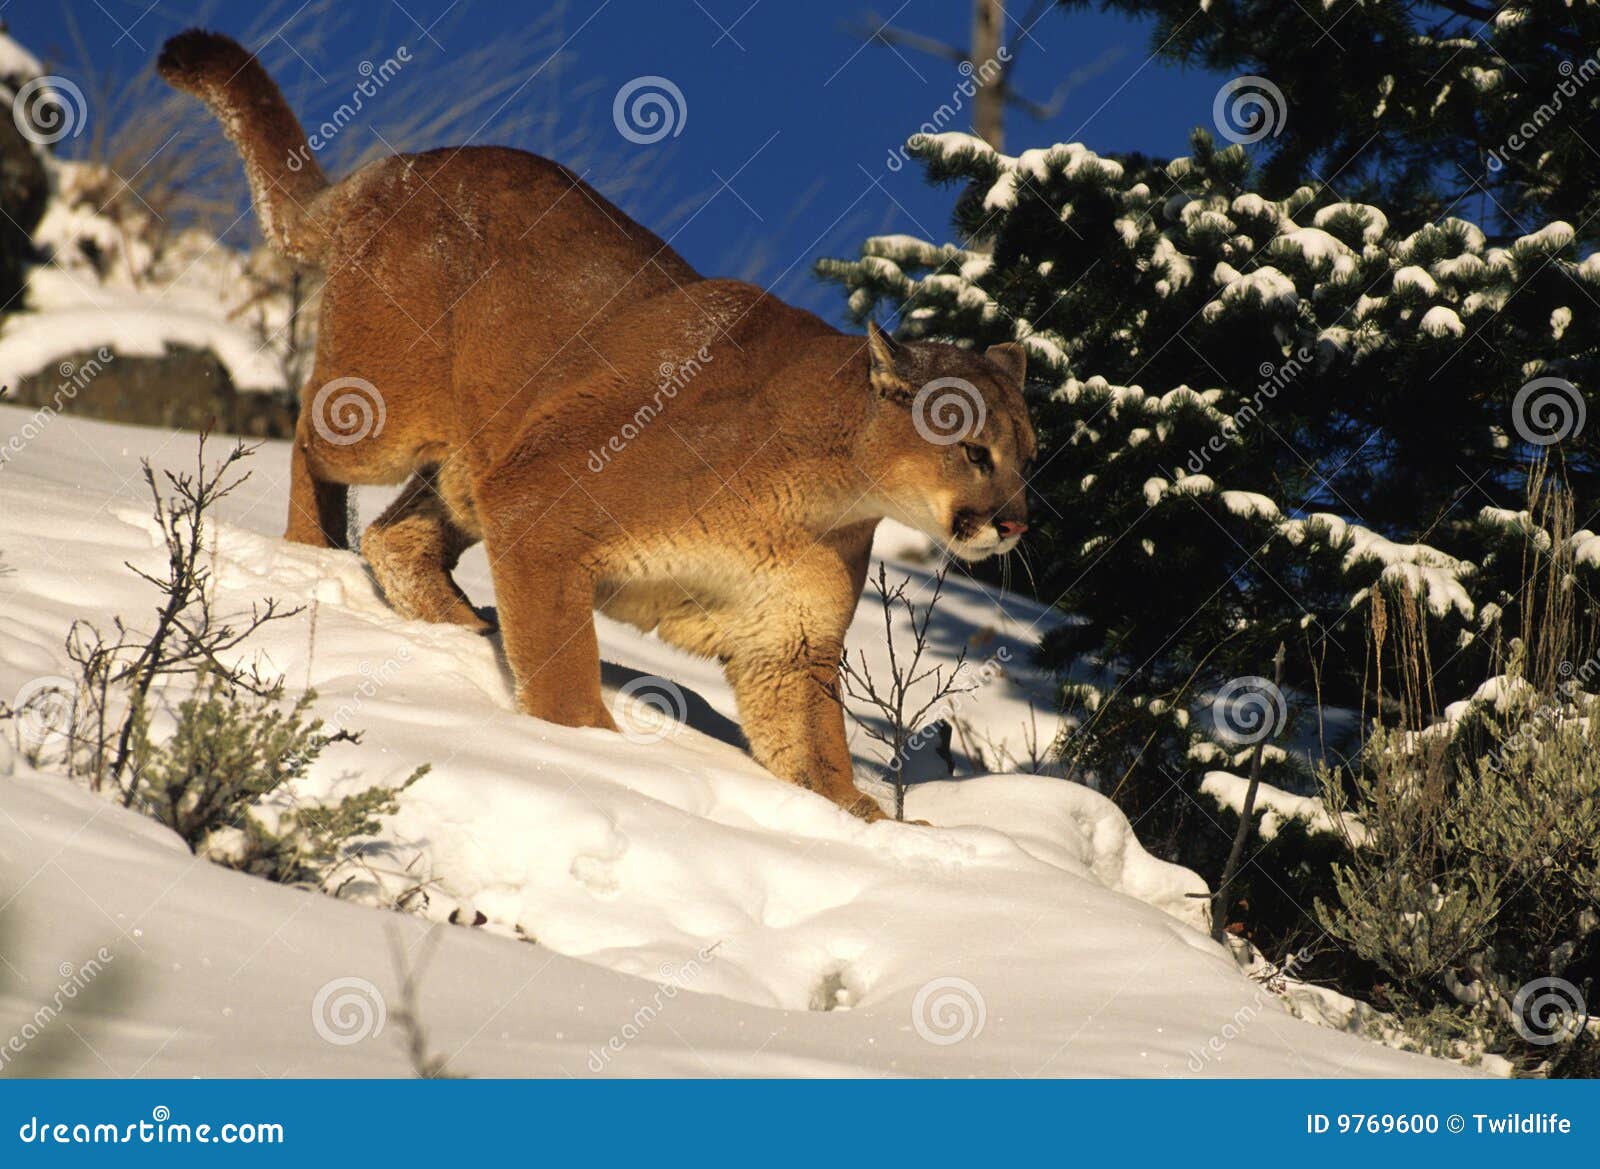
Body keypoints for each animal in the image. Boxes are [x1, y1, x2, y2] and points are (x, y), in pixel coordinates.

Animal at [158, 30, 1036, 822]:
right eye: (972, 448)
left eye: (1028, 455)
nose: (1015, 523)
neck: (827, 491)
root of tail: (402, 161)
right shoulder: (544, 506)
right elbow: (562, 661)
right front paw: (582, 747)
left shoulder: (786, 641)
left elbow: (815, 750)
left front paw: (872, 822)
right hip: (388, 419)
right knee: (315, 442)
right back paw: (314, 551)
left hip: (475, 459)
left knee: (398, 539)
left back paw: (461, 624)